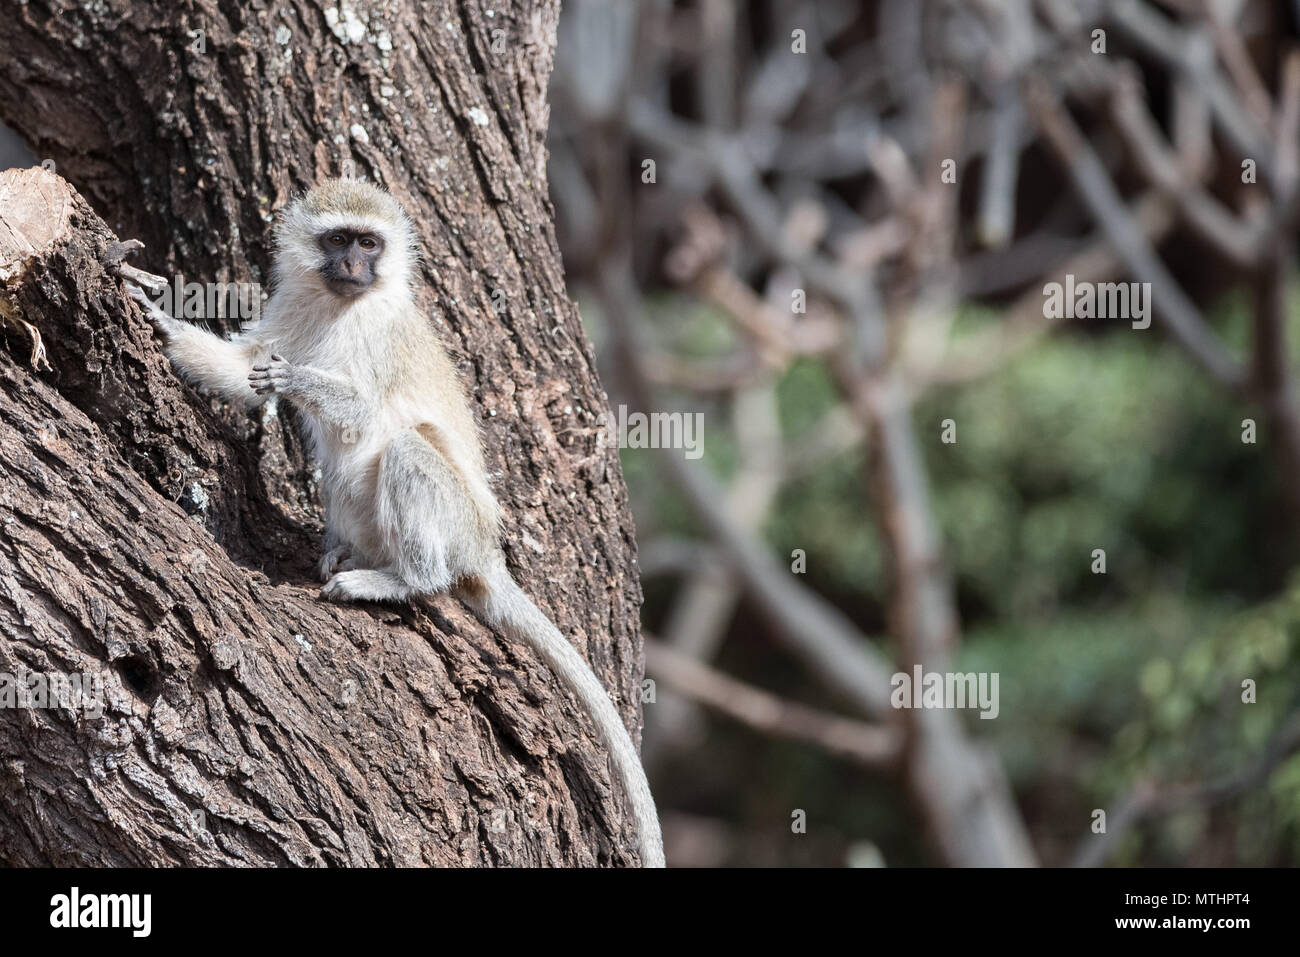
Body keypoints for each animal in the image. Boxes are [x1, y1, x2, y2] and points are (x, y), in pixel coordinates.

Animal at [126, 178, 665, 868]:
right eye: (337, 240)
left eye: (368, 243)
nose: (353, 265)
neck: (341, 305)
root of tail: (484, 553)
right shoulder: (292, 299)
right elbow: (245, 372)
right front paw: (156, 315)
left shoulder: (378, 332)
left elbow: (355, 405)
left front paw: (294, 376)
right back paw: (349, 552)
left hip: (455, 522)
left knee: (407, 449)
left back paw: (403, 579)